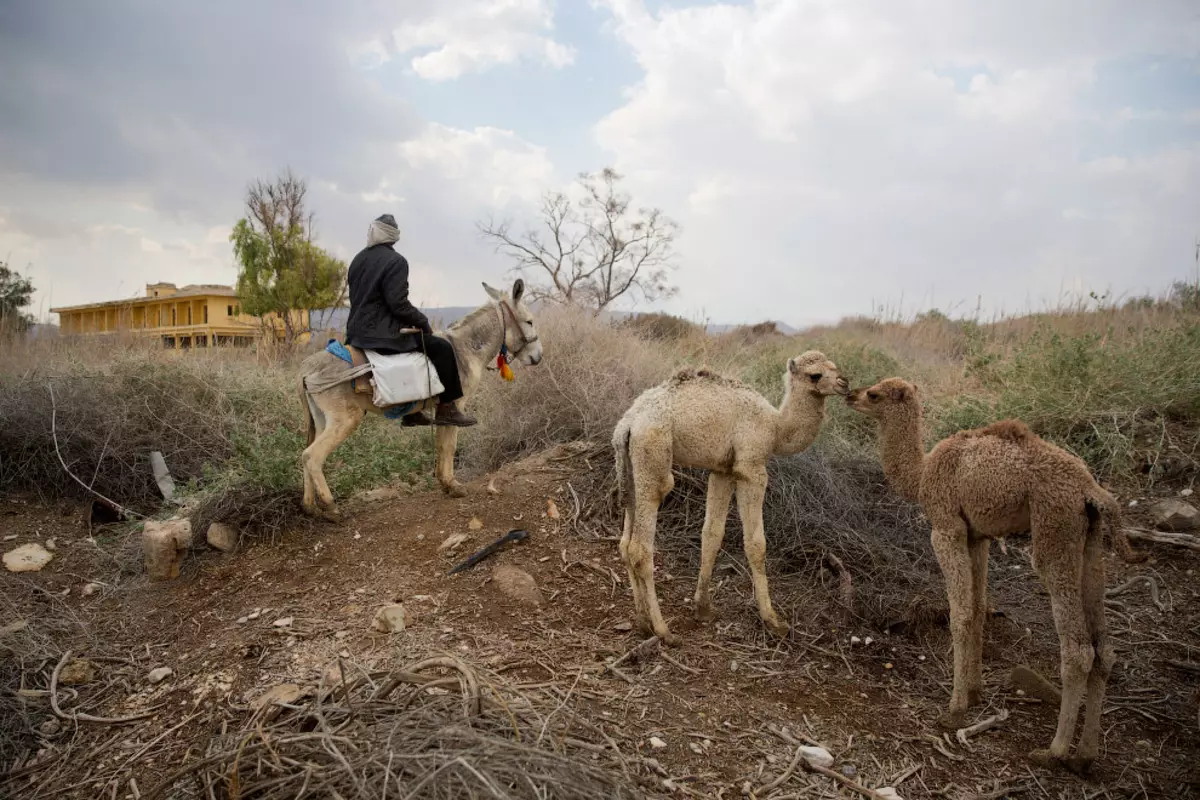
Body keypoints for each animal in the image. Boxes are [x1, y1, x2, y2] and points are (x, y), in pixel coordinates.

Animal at [297, 280, 542, 520]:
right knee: (312, 456)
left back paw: (310, 507)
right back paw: (330, 507)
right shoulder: (456, 406)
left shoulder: (442, 411)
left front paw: (444, 483)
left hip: (322, 419)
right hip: (346, 419)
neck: (464, 349)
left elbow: (441, 444)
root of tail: (307, 369)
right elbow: (449, 445)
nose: (538, 357)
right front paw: (453, 485)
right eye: (529, 321)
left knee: (305, 454)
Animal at [614, 352, 849, 647]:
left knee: (625, 544)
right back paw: (664, 631)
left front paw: (703, 608)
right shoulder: (751, 469)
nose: (845, 383)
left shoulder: (722, 470)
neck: (776, 427)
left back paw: (643, 622)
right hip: (653, 456)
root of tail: (627, 424)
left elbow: (712, 535)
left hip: (631, 466)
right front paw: (774, 621)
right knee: (640, 547)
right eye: (814, 375)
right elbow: (756, 544)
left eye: (834, 366)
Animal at [844, 379, 1123, 772]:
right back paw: (1085, 756)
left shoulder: (946, 527)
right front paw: (975, 693)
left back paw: (1052, 752)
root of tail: (1090, 489)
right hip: (1090, 543)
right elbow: (977, 610)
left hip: (1054, 530)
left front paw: (954, 710)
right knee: (1104, 647)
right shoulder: (978, 536)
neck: (923, 474)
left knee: (1079, 649)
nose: (849, 393)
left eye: (875, 394)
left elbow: (960, 614)